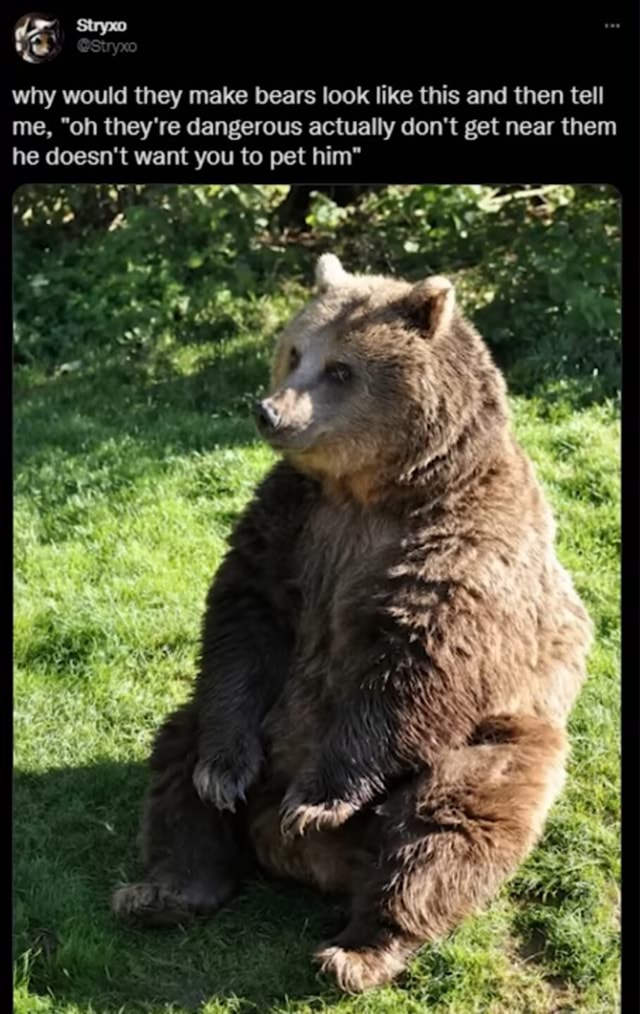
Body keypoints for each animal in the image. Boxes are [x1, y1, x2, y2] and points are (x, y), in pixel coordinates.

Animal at [112, 254, 593, 994]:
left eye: (341, 369)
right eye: (293, 351)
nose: (270, 410)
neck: (372, 490)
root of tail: (305, 868)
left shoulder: (460, 544)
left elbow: (410, 671)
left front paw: (316, 802)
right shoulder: (291, 525)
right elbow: (242, 624)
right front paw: (223, 774)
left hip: (503, 737)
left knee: (450, 821)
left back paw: (361, 948)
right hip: (217, 730)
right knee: (177, 758)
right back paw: (165, 890)